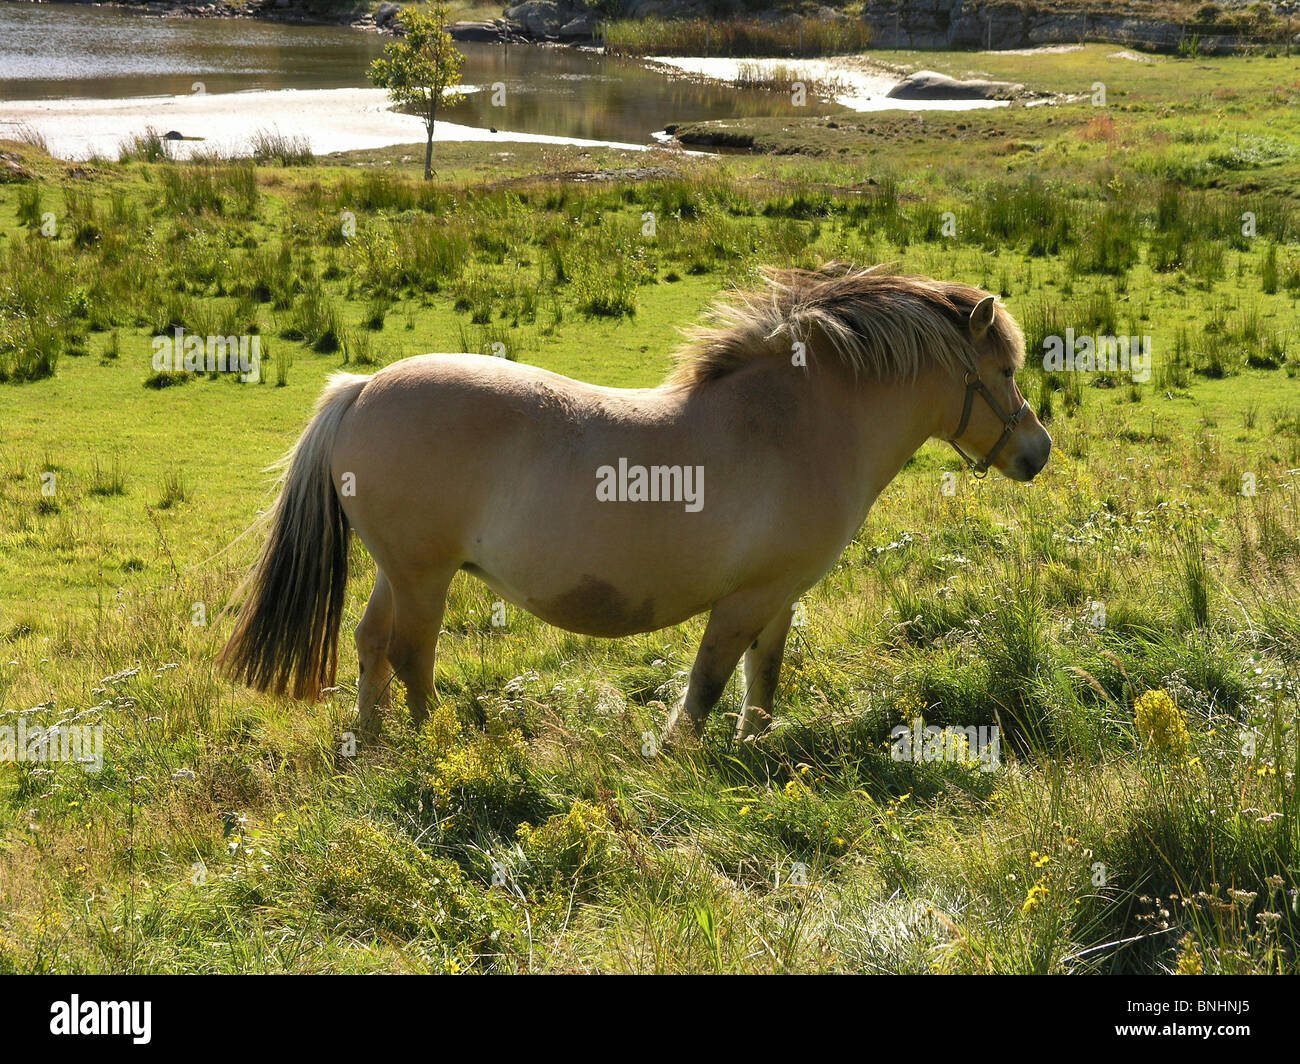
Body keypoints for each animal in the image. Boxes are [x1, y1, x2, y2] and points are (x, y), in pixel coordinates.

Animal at [217, 263, 1052, 743]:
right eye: (1006, 369)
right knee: (408, 654)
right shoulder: (744, 600)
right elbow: (707, 684)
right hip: (425, 577)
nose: (1037, 452)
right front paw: (678, 757)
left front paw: (756, 751)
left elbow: (763, 678)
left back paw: (377, 742)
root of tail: (361, 390)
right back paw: (441, 746)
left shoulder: (780, 596)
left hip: (403, 572)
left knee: (369, 646)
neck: (798, 423)